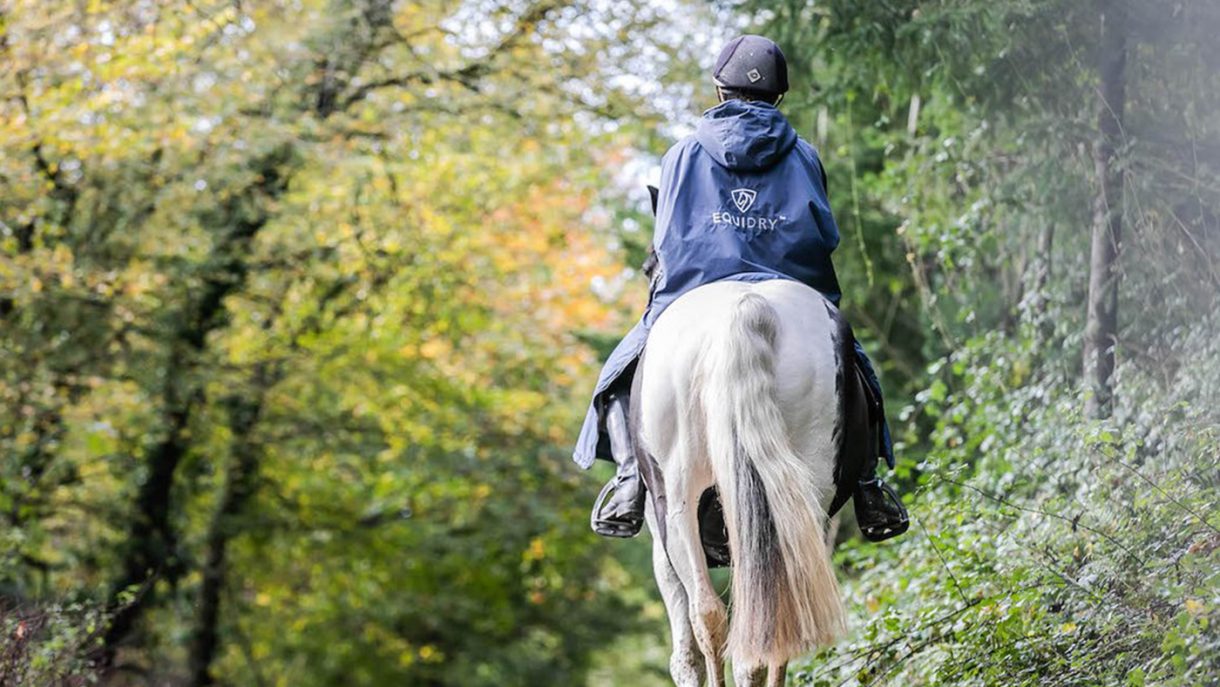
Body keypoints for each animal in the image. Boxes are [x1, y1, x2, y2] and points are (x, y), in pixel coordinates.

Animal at [632, 278, 851, 687]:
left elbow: (685, 651)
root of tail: (746, 309)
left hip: (680, 503)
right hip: (806, 493)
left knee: (708, 615)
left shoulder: (660, 533)